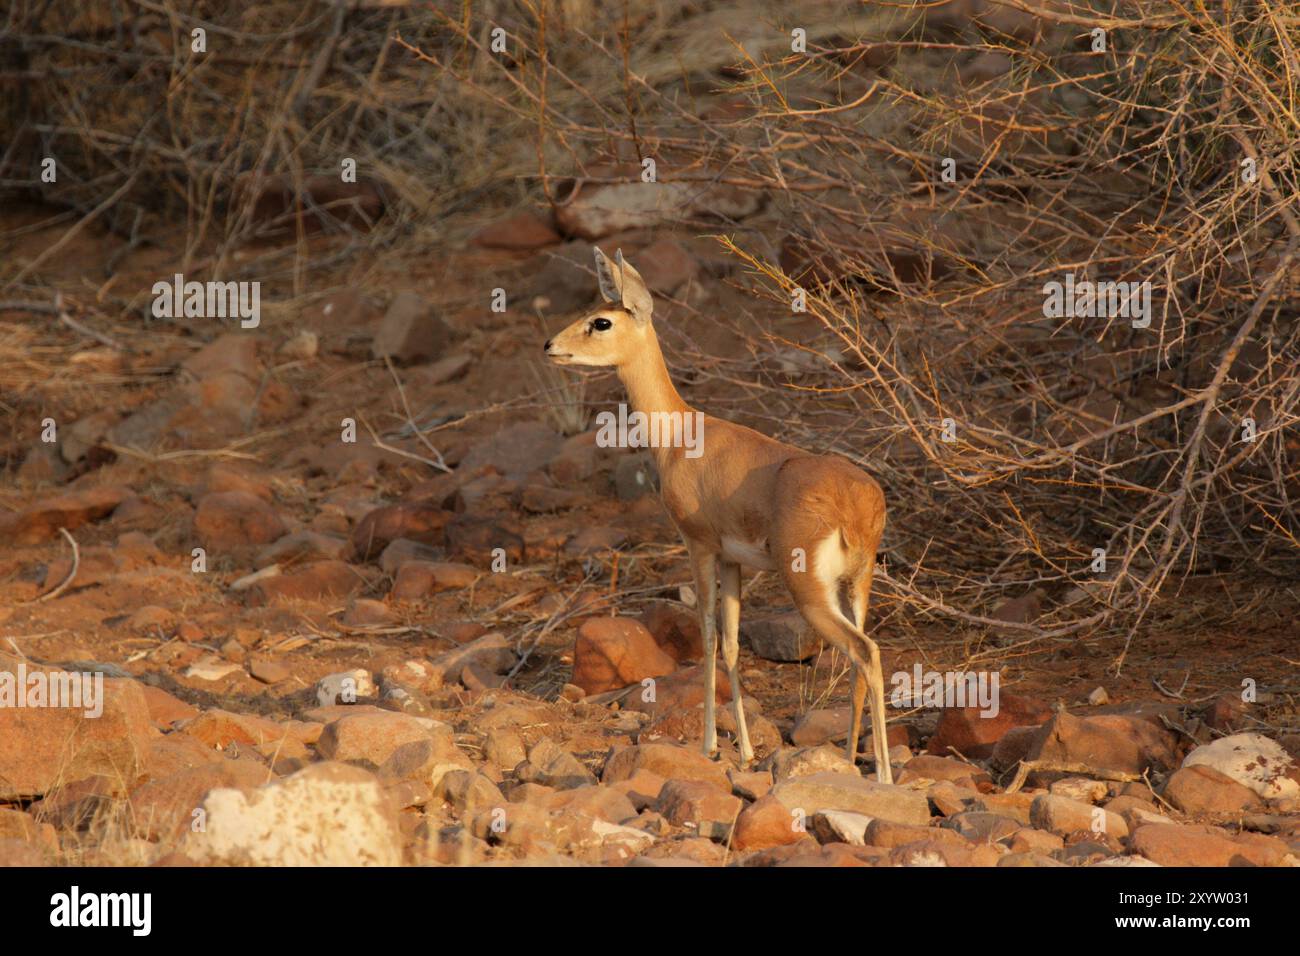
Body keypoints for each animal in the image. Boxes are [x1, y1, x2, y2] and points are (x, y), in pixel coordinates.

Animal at [544, 248, 892, 783]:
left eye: (600, 321)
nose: (550, 346)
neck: (679, 434)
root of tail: (859, 501)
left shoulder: (700, 546)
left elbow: (706, 638)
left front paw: (710, 745)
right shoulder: (733, 560)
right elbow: (730, 645)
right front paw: (745, 752)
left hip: (810, 590)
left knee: (866, 652)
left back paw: (886, 776)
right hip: (856, 585)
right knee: (859, 659)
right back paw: (853, 760)